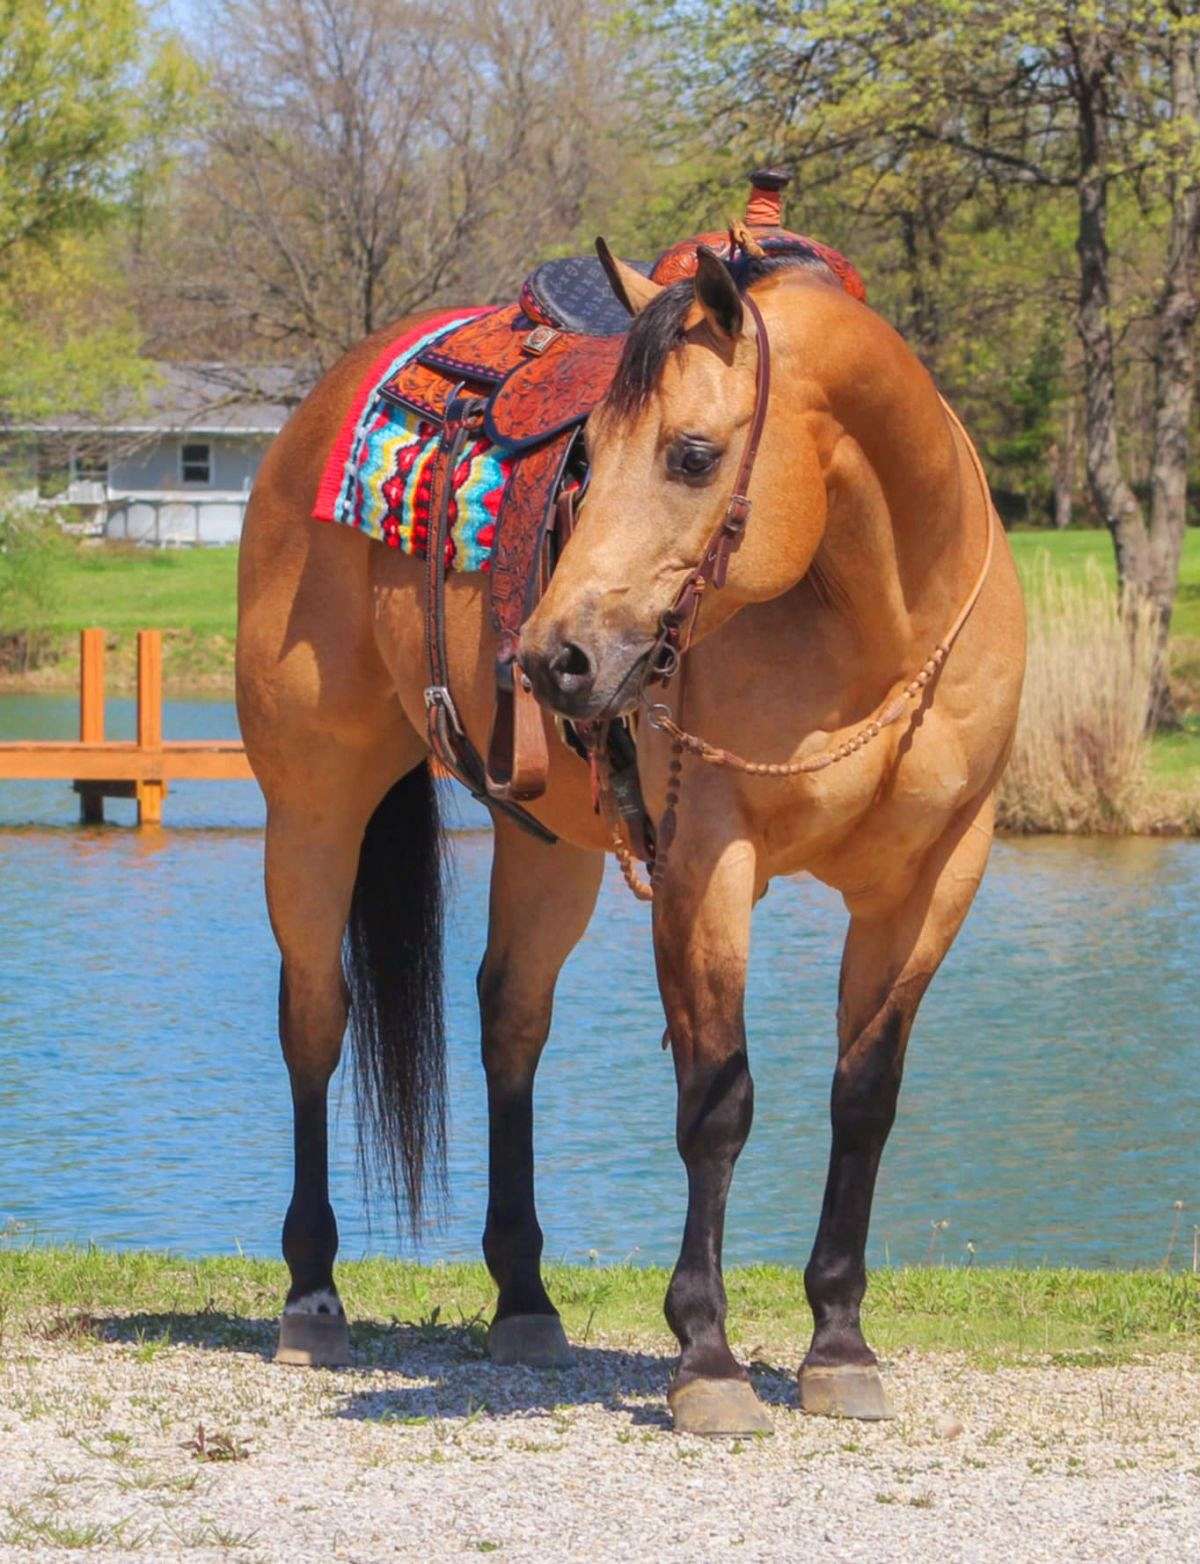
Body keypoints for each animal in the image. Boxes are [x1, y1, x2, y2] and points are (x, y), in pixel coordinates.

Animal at [236, 236, 1025, 1435]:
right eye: (588, 456)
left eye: (694, 455)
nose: (551, 657)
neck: (880, 625)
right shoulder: (707, 864)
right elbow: (718, 1102)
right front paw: (706, 1358)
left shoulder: (934, 877)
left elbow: (865, 1096)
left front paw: (839, 1343)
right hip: (315, 802)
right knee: (315, 1022)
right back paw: (313, 1297)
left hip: (547, 844)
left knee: (510, 1021)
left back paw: (524, 1297)